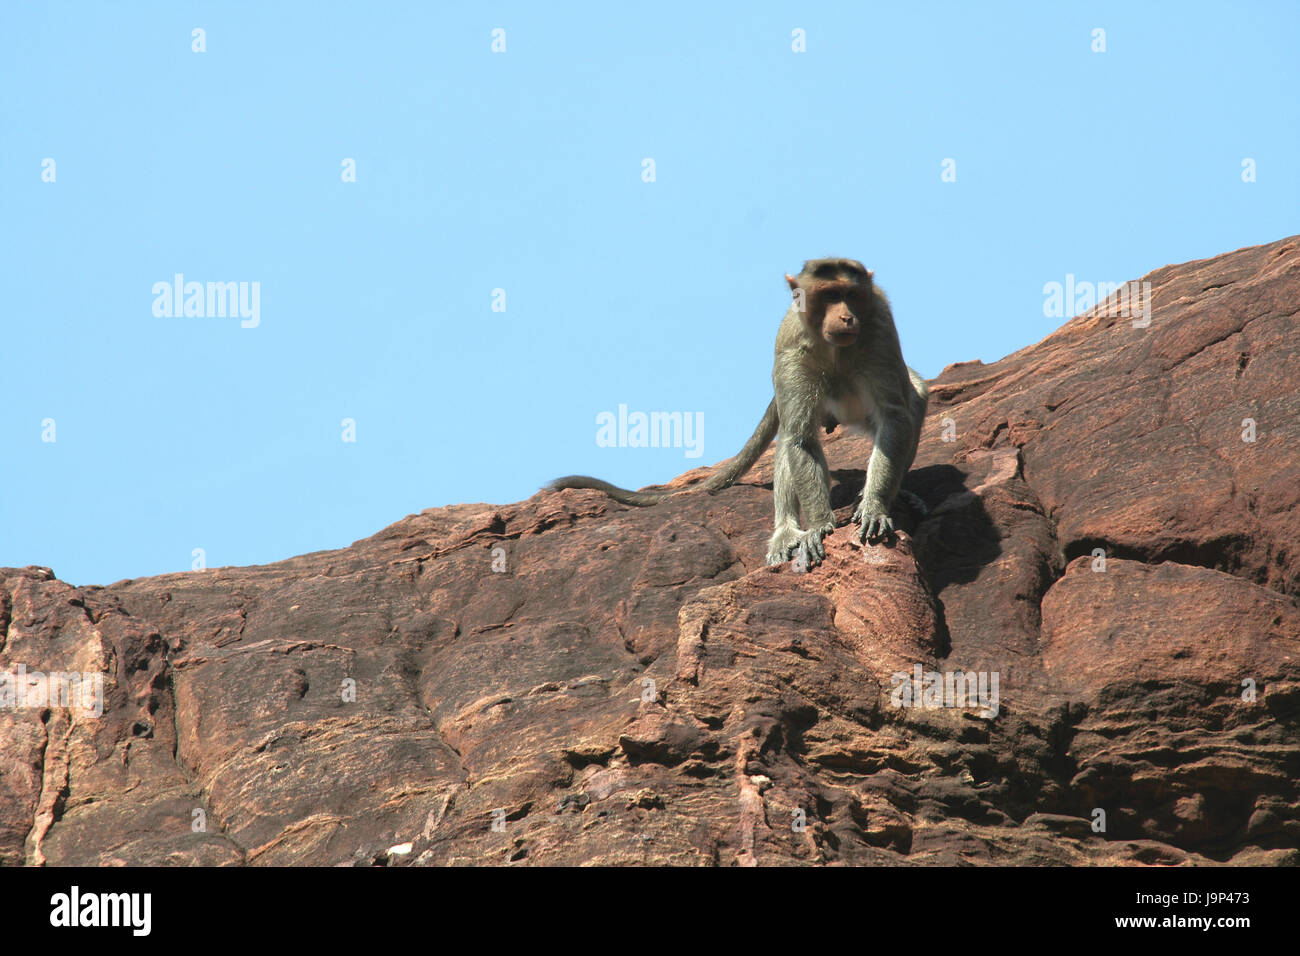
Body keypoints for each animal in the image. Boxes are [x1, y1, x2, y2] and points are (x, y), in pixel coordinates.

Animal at [548, 259, 928, 569]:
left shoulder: (879, 329)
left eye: (850, 294)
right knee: (791, 434)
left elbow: (896, 414)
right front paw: (820, 526)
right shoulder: (790, 347)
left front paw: (876, 505)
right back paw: (787, 532)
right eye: (830, 295)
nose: (846, 316)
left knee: (915, 398)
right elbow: (799, 440)